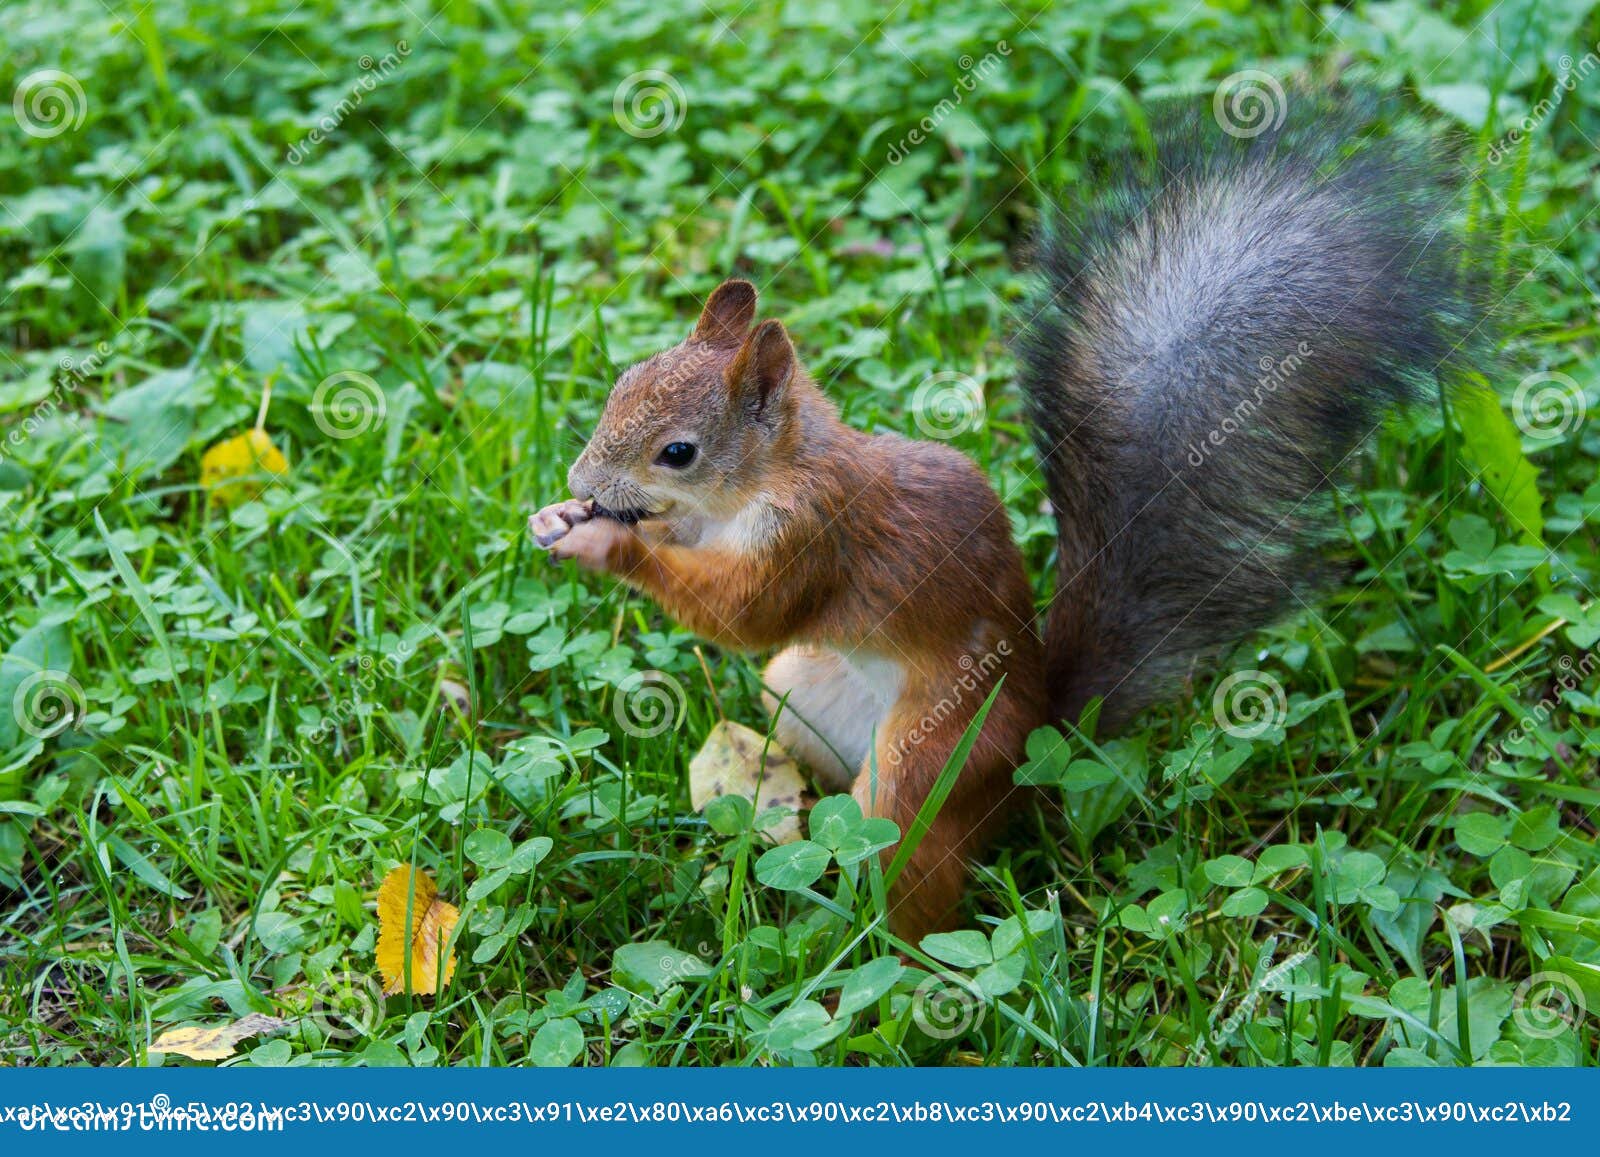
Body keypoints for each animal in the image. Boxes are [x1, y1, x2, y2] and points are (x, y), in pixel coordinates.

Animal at [529, 91, 1482, 939]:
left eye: (678, 451)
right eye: (623, 385)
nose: (581, 475)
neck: (769, 476)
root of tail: (1037, 741)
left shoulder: (813, 535)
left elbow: (744, 613)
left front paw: (609, 541)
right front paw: (567, 515)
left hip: (933, 754)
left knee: (910, 849)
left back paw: (892, 960)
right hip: (799, 687)